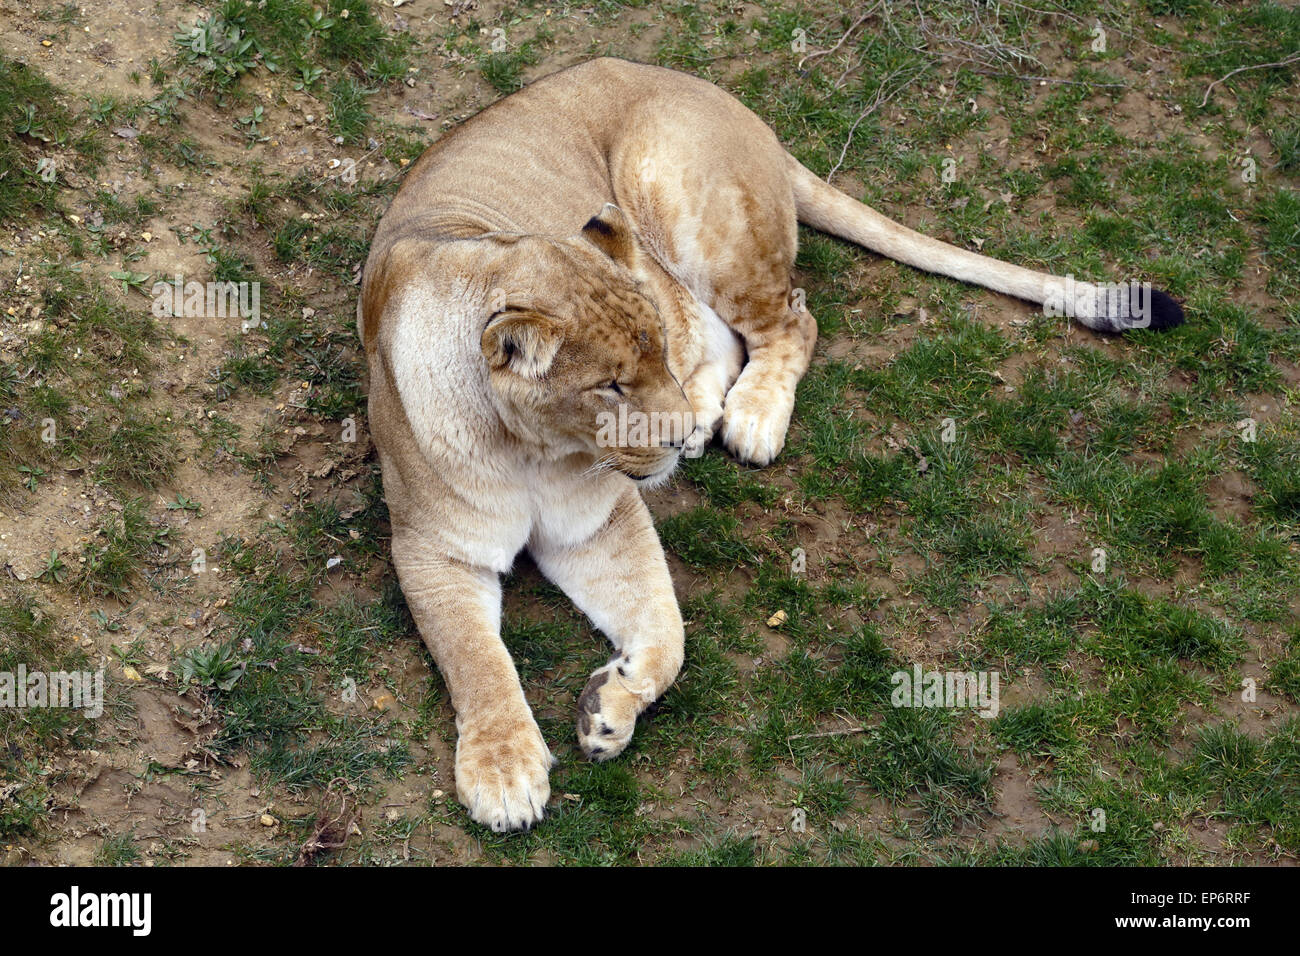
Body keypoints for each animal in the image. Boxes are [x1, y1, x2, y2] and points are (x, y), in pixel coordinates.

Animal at [358, 57, 1182, 831]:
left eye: (650, 358)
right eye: (611, 386)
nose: (667, 435)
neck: (536, 448)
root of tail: (714, 93)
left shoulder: (601, 523)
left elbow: (669, 633)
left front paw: (608, 705)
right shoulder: (434, 548)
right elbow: (478, 660)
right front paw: (505, 774)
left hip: (678, 196)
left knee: (792, 318)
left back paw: (749, 420)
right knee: (732, 333)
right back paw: (710, 417)